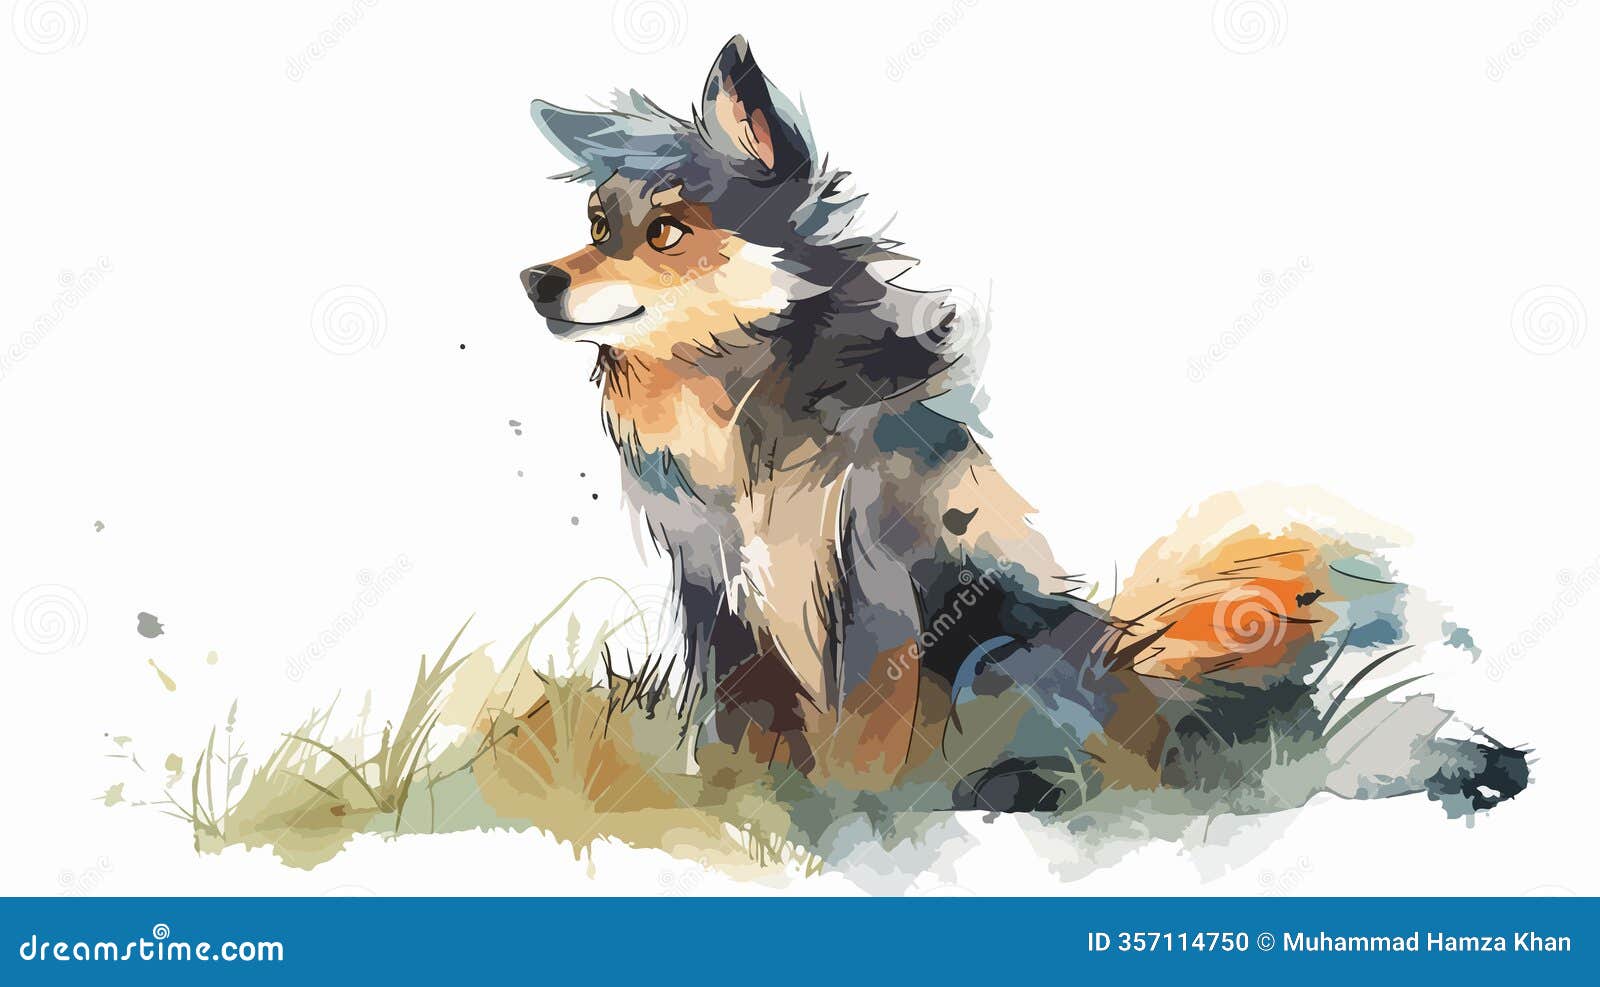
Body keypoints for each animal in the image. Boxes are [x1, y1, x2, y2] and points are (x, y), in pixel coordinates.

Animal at [519, 36, 1528, 815]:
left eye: (666, 234)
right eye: (596, 223)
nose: (536, 280)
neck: (743, 410)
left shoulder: (874, 587)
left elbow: (863, 743)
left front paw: (853, 823)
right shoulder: (715, 592)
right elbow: (736, 734)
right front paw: (742, 808)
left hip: (1005, 649)